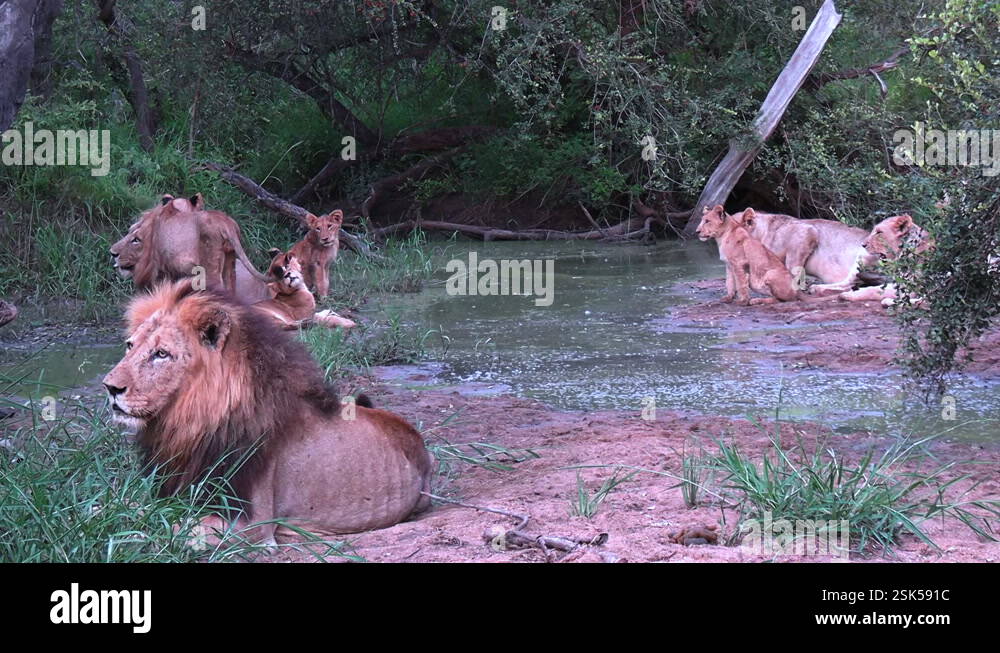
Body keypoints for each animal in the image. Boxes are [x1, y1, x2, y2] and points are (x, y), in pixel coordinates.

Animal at [102, 279, 433, 544]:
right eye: (130, 345)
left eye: (161, 354)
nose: (109, 387)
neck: (186, 426)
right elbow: (128, 507)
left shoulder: (250, 524)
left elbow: (164, 527)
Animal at [110, 194, 269, 292]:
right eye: (129, 231)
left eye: (136, 240)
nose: (112, 253)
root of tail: (226, 223)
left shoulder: (161, 269)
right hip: (230, 265)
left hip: (210, 270)